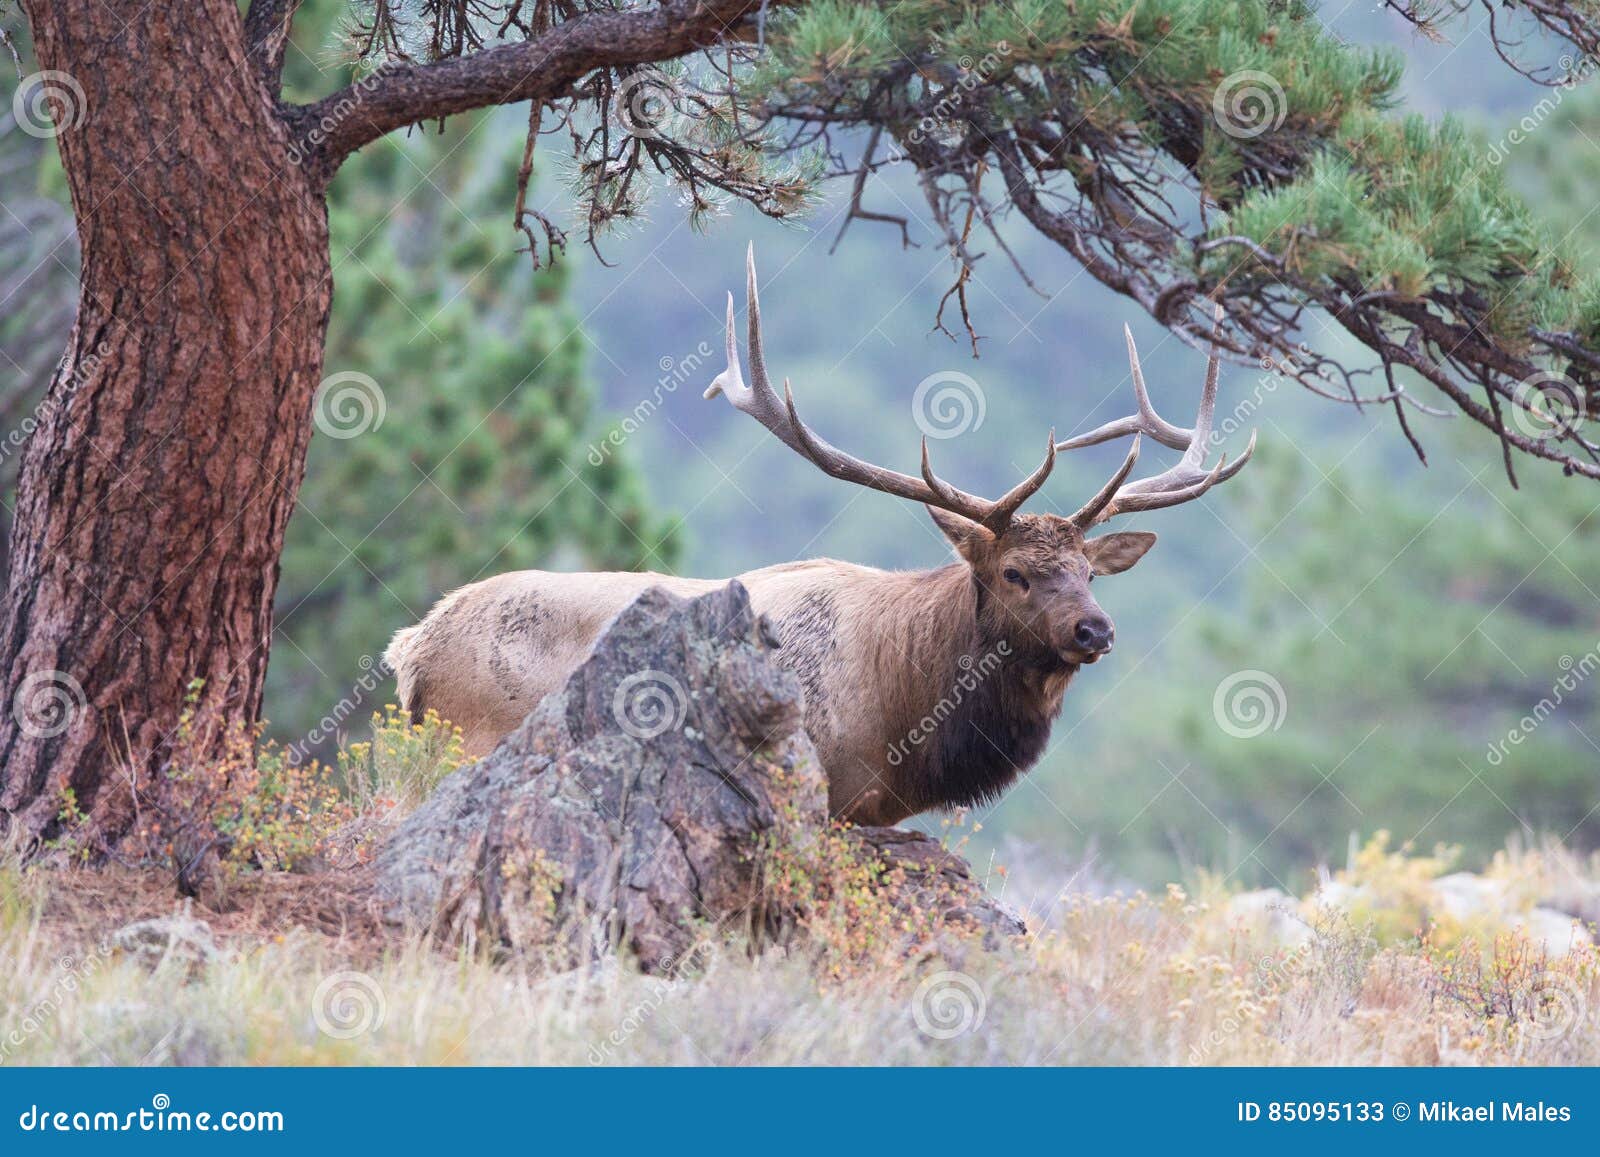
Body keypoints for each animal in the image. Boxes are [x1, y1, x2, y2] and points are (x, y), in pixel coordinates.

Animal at [384, 246, 1255, 826]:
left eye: (1090, 572)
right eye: (1014, 572)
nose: (1094, 628)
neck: (910, 714)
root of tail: (412, 646)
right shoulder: (829, 795)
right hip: (463, 742)